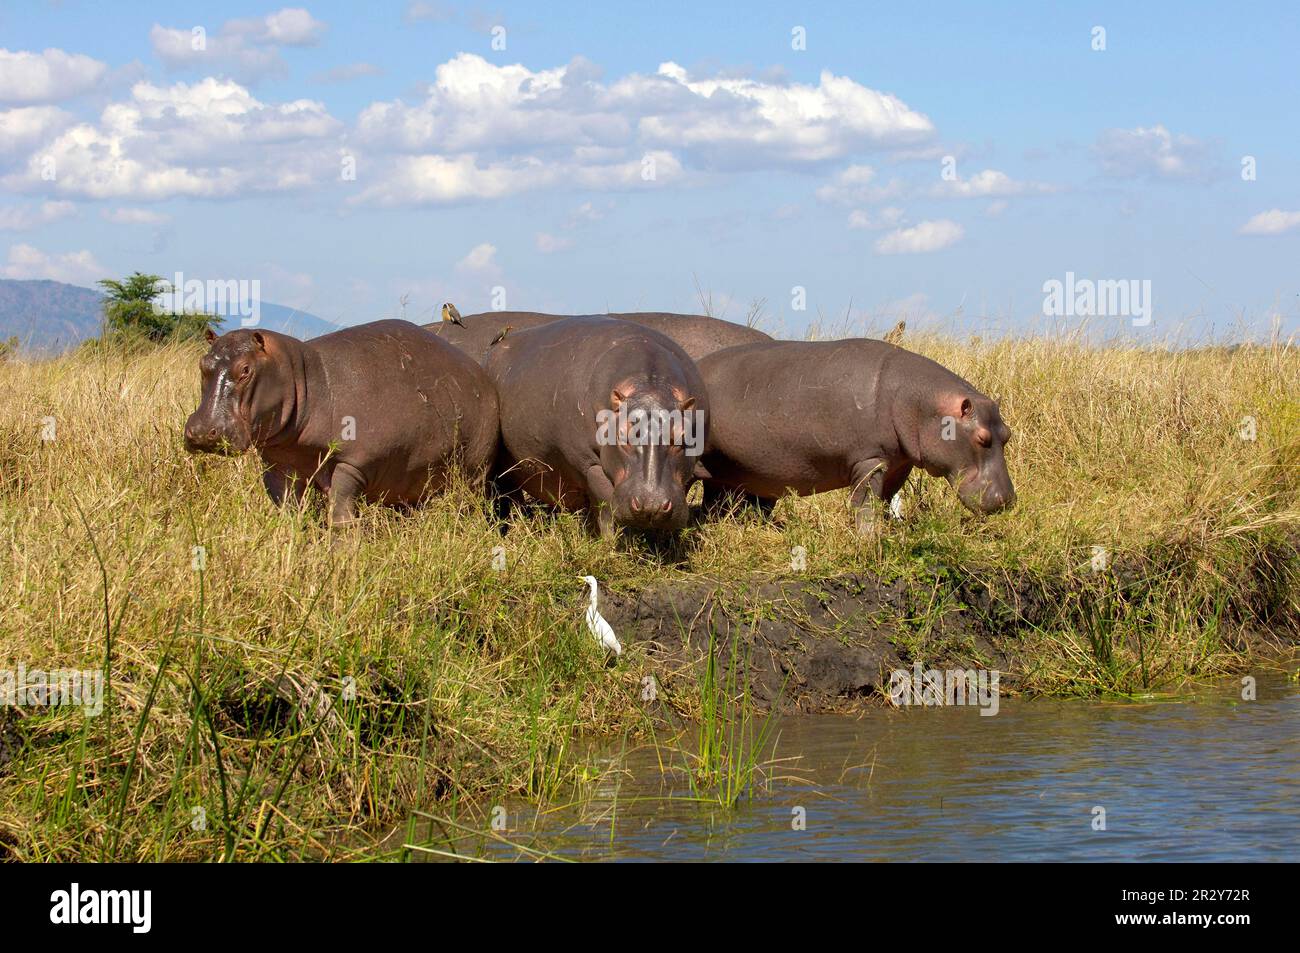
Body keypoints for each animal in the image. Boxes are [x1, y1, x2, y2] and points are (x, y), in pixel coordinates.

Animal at [183, 319, 499, 526]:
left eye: (246, 369)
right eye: (202, 364)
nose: (200, 430)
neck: (305, 381)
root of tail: (480, 375)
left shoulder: (353, 464)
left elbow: (340, 514)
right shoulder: (278, 464)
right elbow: (287, 510)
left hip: (473, 474)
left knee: (466, 505)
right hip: (411, 481)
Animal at [484, 316, 709, 536]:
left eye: (681, 439)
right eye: (623, 437)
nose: (651, 505)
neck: (650, 386)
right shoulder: (590, 465)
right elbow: (606, 509)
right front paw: (611, 543)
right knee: (506, 497)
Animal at [697, 339, 1014, 529]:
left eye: (1007, 434)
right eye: (982, 438)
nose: (1008, 500)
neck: (918, 402)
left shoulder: (899, 462)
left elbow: (887, 497)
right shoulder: (868, 460)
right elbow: (866, 501)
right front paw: (869, 537)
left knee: (713, 500)